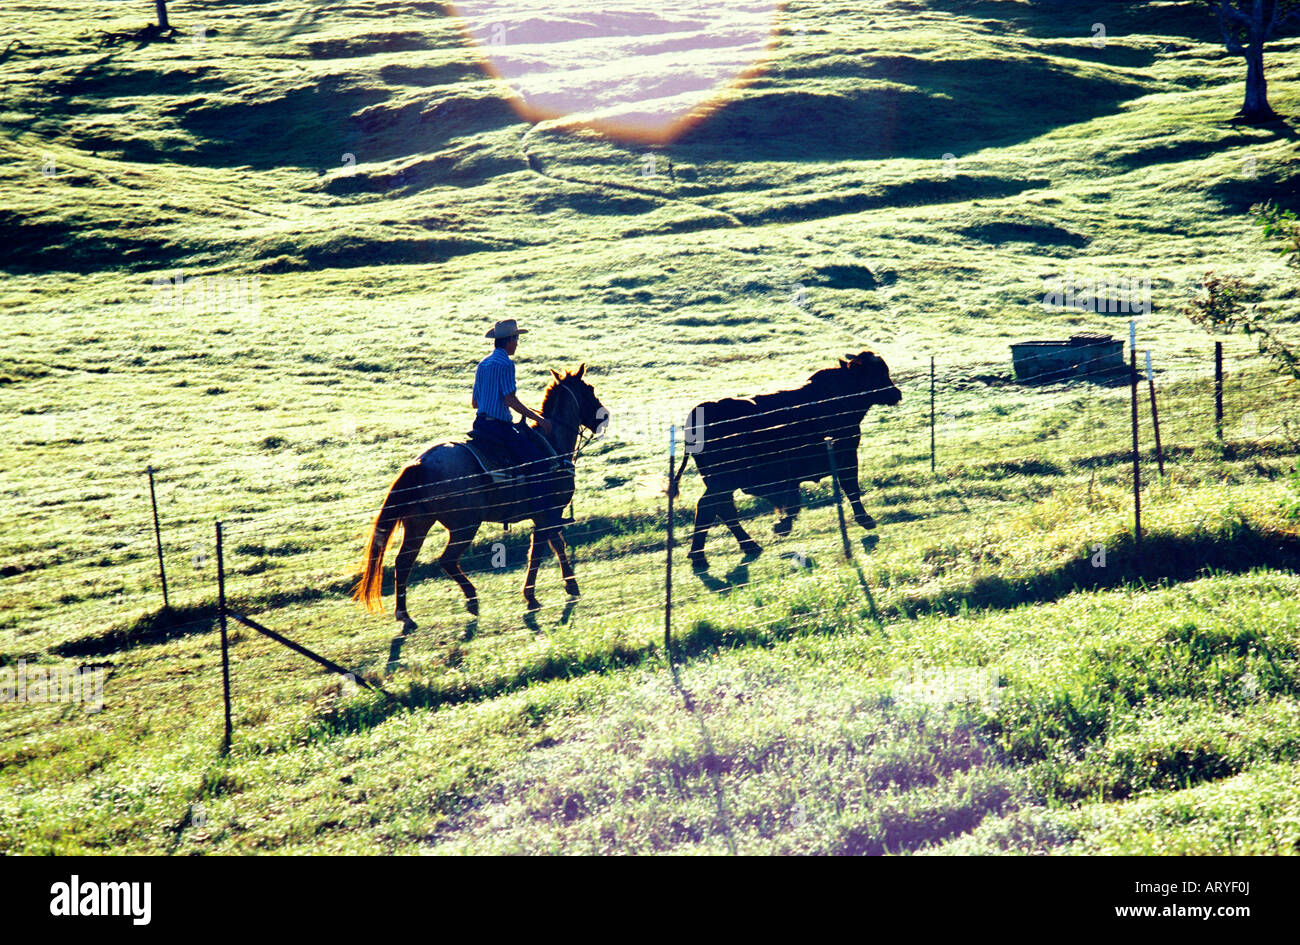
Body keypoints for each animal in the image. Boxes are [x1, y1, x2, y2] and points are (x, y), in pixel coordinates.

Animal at [353, 365, 607, 627]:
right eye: (589, 389)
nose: (604, 416)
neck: (551, 444)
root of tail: (420, 464)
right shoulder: (549, 514)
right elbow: (544, 549)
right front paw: (552, 590)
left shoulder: (543, 516)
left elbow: (549, 546)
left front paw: (546, 591)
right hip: (464, 526)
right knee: (446, 560)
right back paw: (471, 599)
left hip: (419, 524)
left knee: (403, 562)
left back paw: (405, 615)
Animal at [668, 350, 903, 570]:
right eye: (877, 373)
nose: (896, 393)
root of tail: (701, 411)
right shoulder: (846, 457)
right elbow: (850, 489)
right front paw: (866, 520)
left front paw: (782, 525)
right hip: (722, 481)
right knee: (710, 507)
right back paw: (702, 556)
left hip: (722, 483)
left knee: (721, 508)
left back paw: (746, 546)